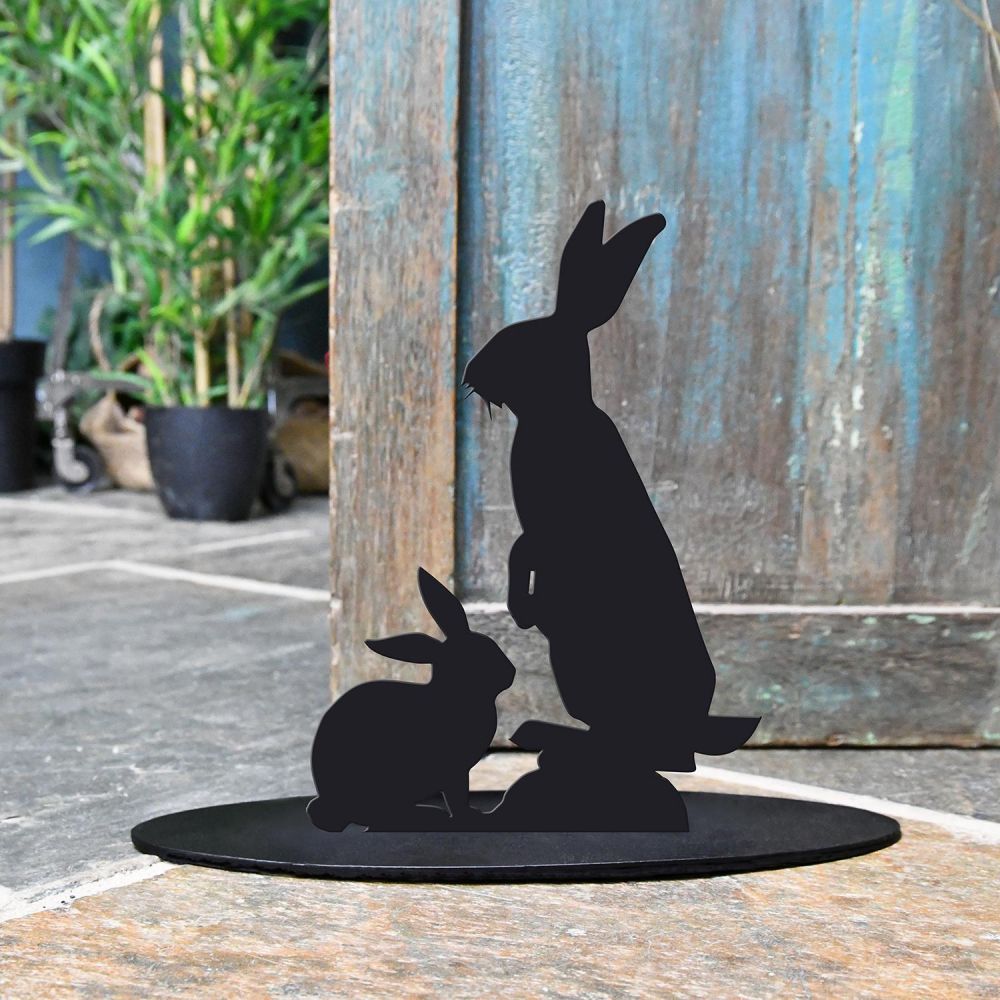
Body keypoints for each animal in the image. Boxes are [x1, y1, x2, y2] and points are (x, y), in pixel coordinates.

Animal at [462, 200, 759, 772]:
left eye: (518, 342)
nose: (470, 371)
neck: (558, 413)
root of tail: (693, 726)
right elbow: (519, 549)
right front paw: (524, 609)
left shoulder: (549, 526)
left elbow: (522, 551)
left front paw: (523, 608)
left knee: (659, 754)